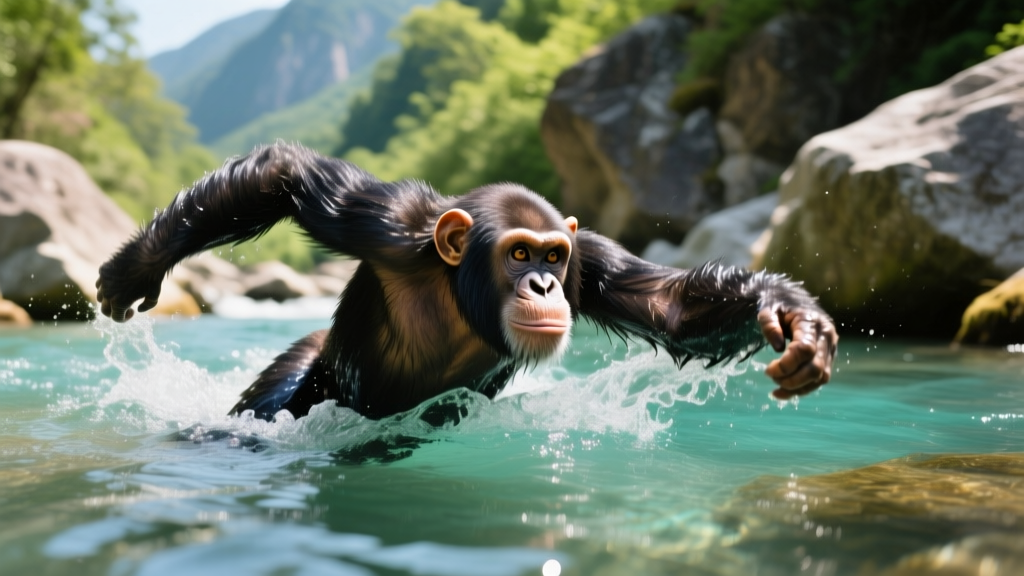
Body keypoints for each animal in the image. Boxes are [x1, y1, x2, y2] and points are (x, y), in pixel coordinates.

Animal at [96, 144, 838, 422]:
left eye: (552, 257)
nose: (542, 286)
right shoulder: (389, 226)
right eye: (518, 254)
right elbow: (285, 172)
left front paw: (796, 319)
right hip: (303, 371)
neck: (460, 292)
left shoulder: (591, 261)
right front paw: (138, 265)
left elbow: (673, 305)